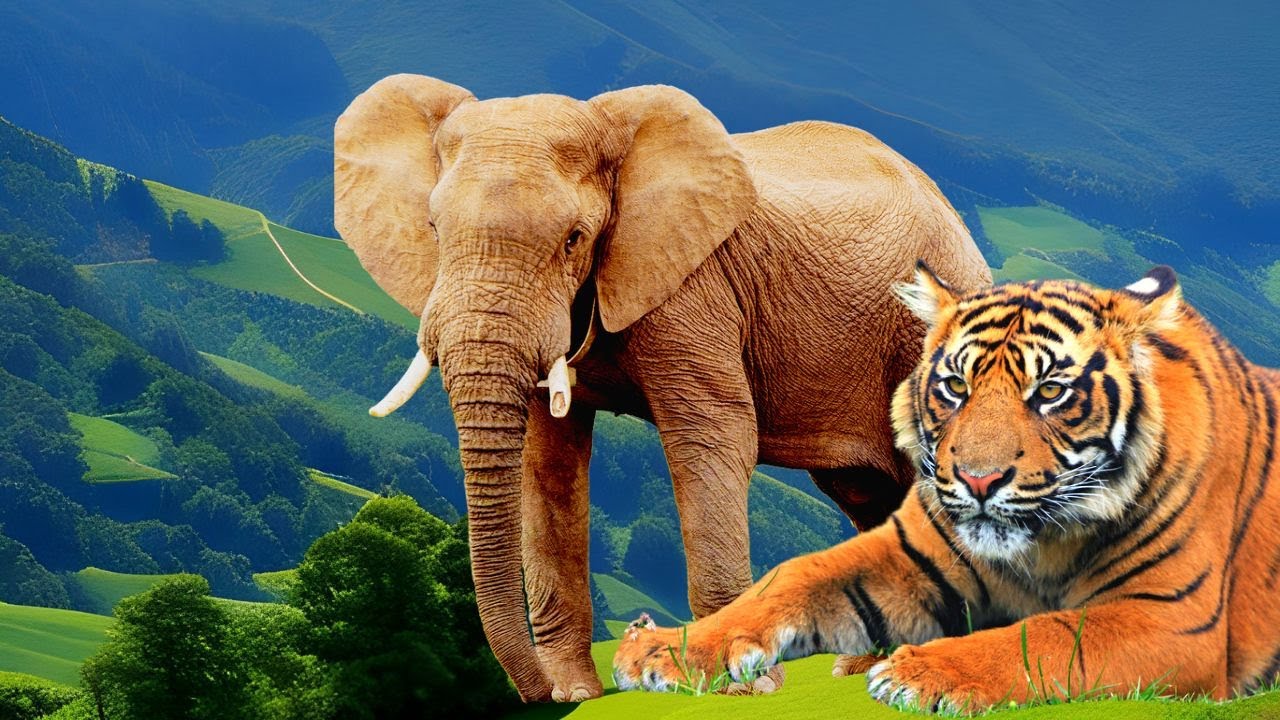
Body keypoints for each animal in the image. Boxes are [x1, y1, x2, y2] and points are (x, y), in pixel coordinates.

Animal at [333, 74, 991, 702]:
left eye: (574, 238)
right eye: (433, 229)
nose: (537, 695)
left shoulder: (694, 286)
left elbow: (713, 437)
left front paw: (744, 688)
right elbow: (547, 463)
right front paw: (575, 691)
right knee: (865, 494)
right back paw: (863, 667)